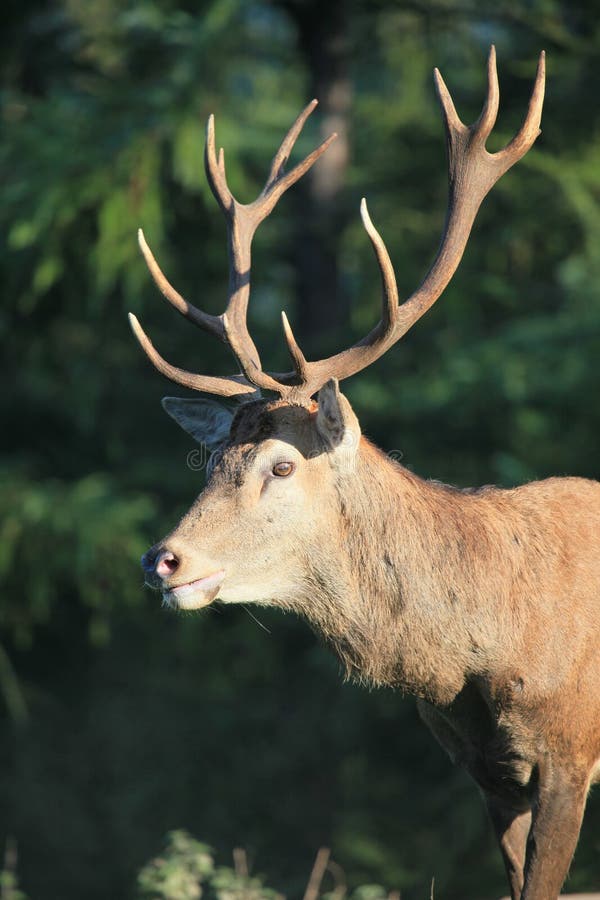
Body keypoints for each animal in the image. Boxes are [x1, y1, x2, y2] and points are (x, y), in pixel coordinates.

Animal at [129, 48, 600, 900]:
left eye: (282, 465)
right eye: (212, 458)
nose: (163, 560)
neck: (490, 649)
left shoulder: (571, 749)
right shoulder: (488, 772)